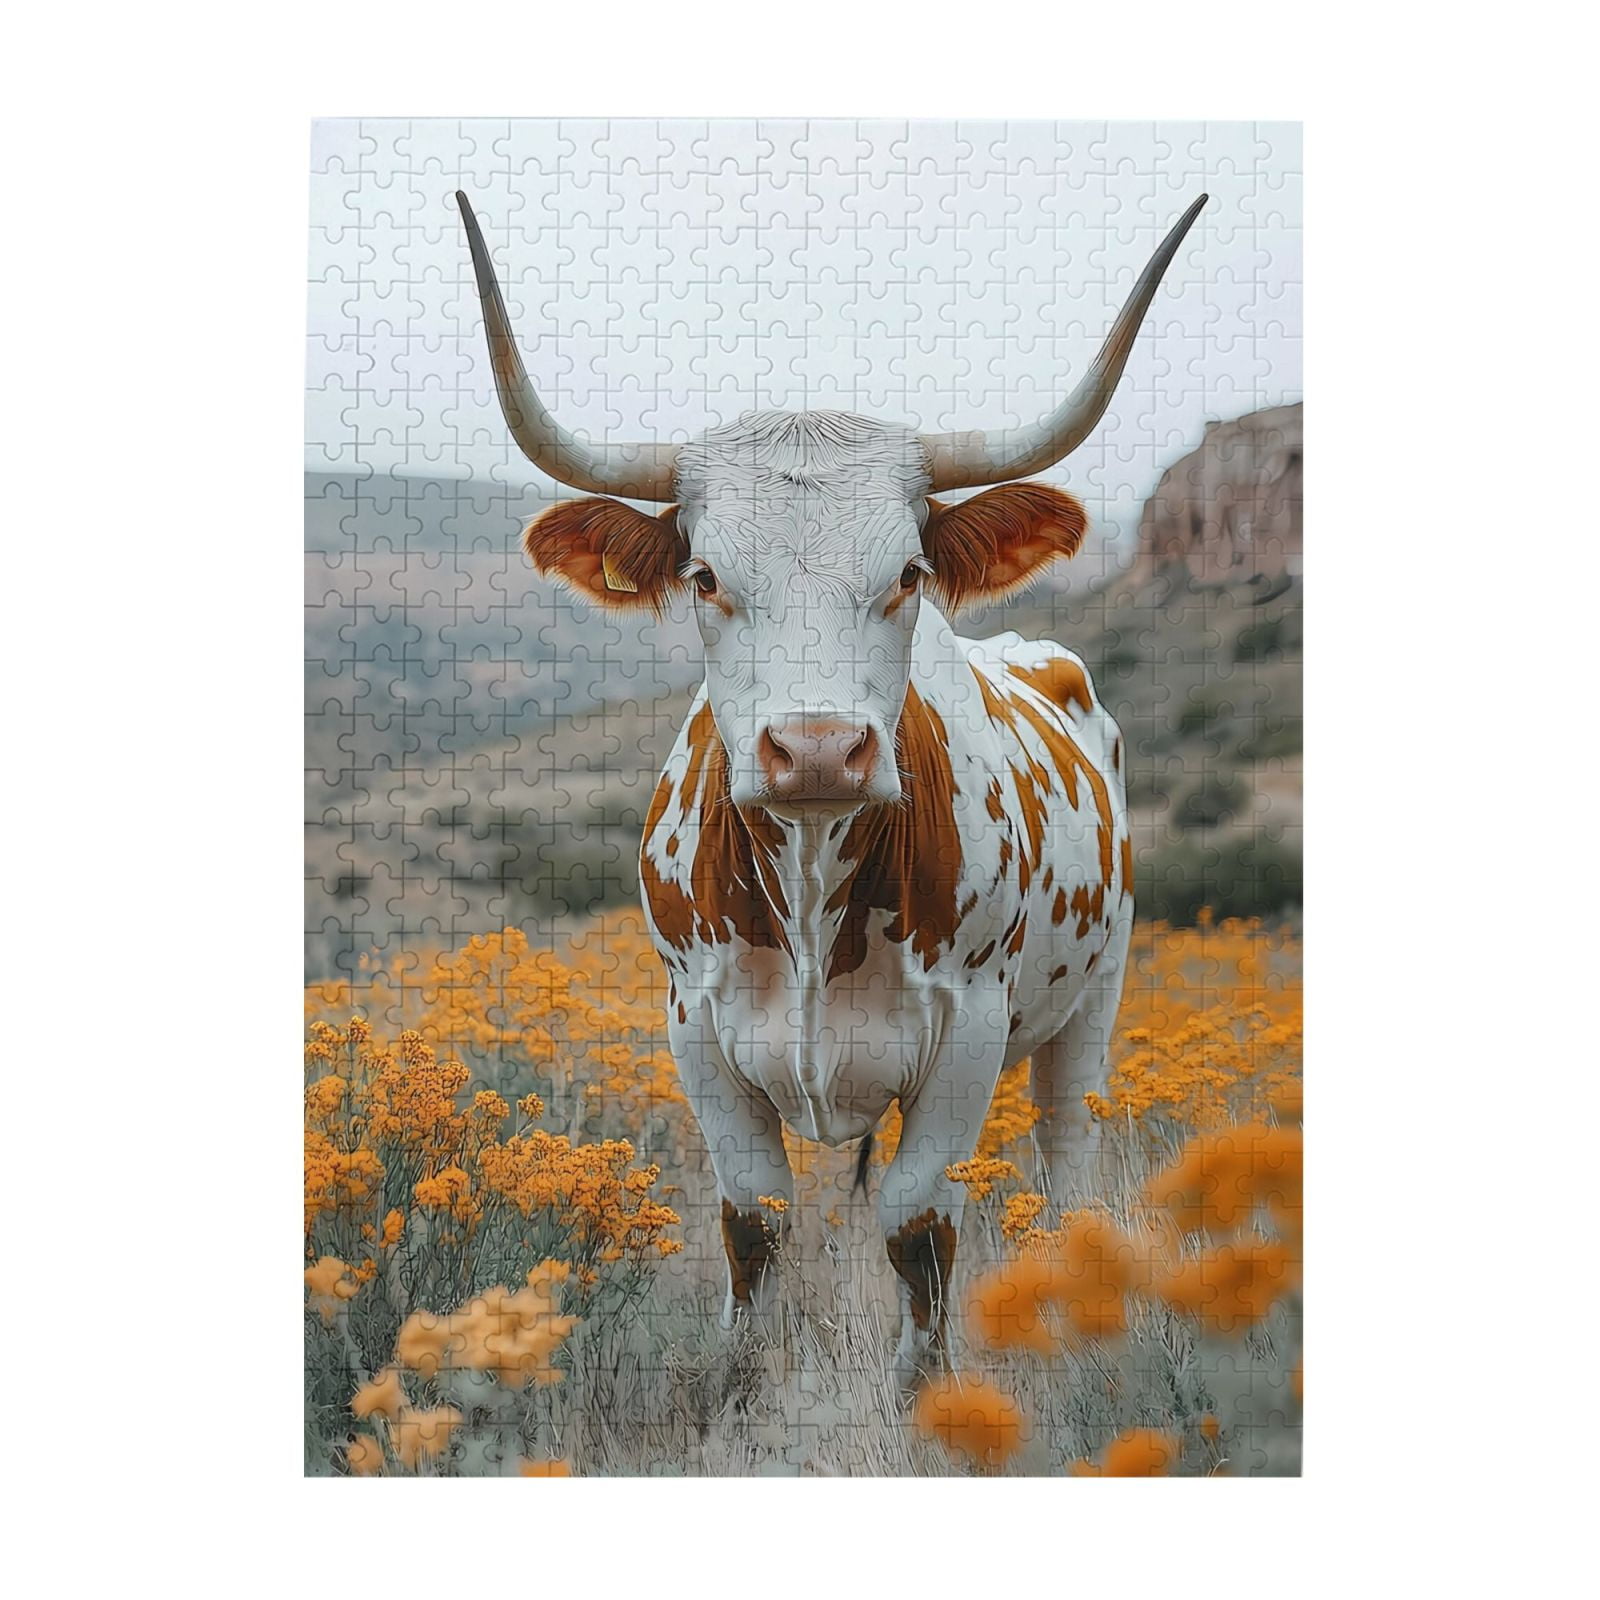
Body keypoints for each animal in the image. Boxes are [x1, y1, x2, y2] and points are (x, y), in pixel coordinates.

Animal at [456, 190, 1206, 1384]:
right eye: (705, 575)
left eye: (906, 573)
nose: (813, 751)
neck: (812, 892)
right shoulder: (693, 1026)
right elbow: (752, 1219)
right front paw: (738, 1380)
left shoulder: (970, 1031)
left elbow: (916, 1220)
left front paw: (920, 1387)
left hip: (1094, 1000)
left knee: (1067, 1153)